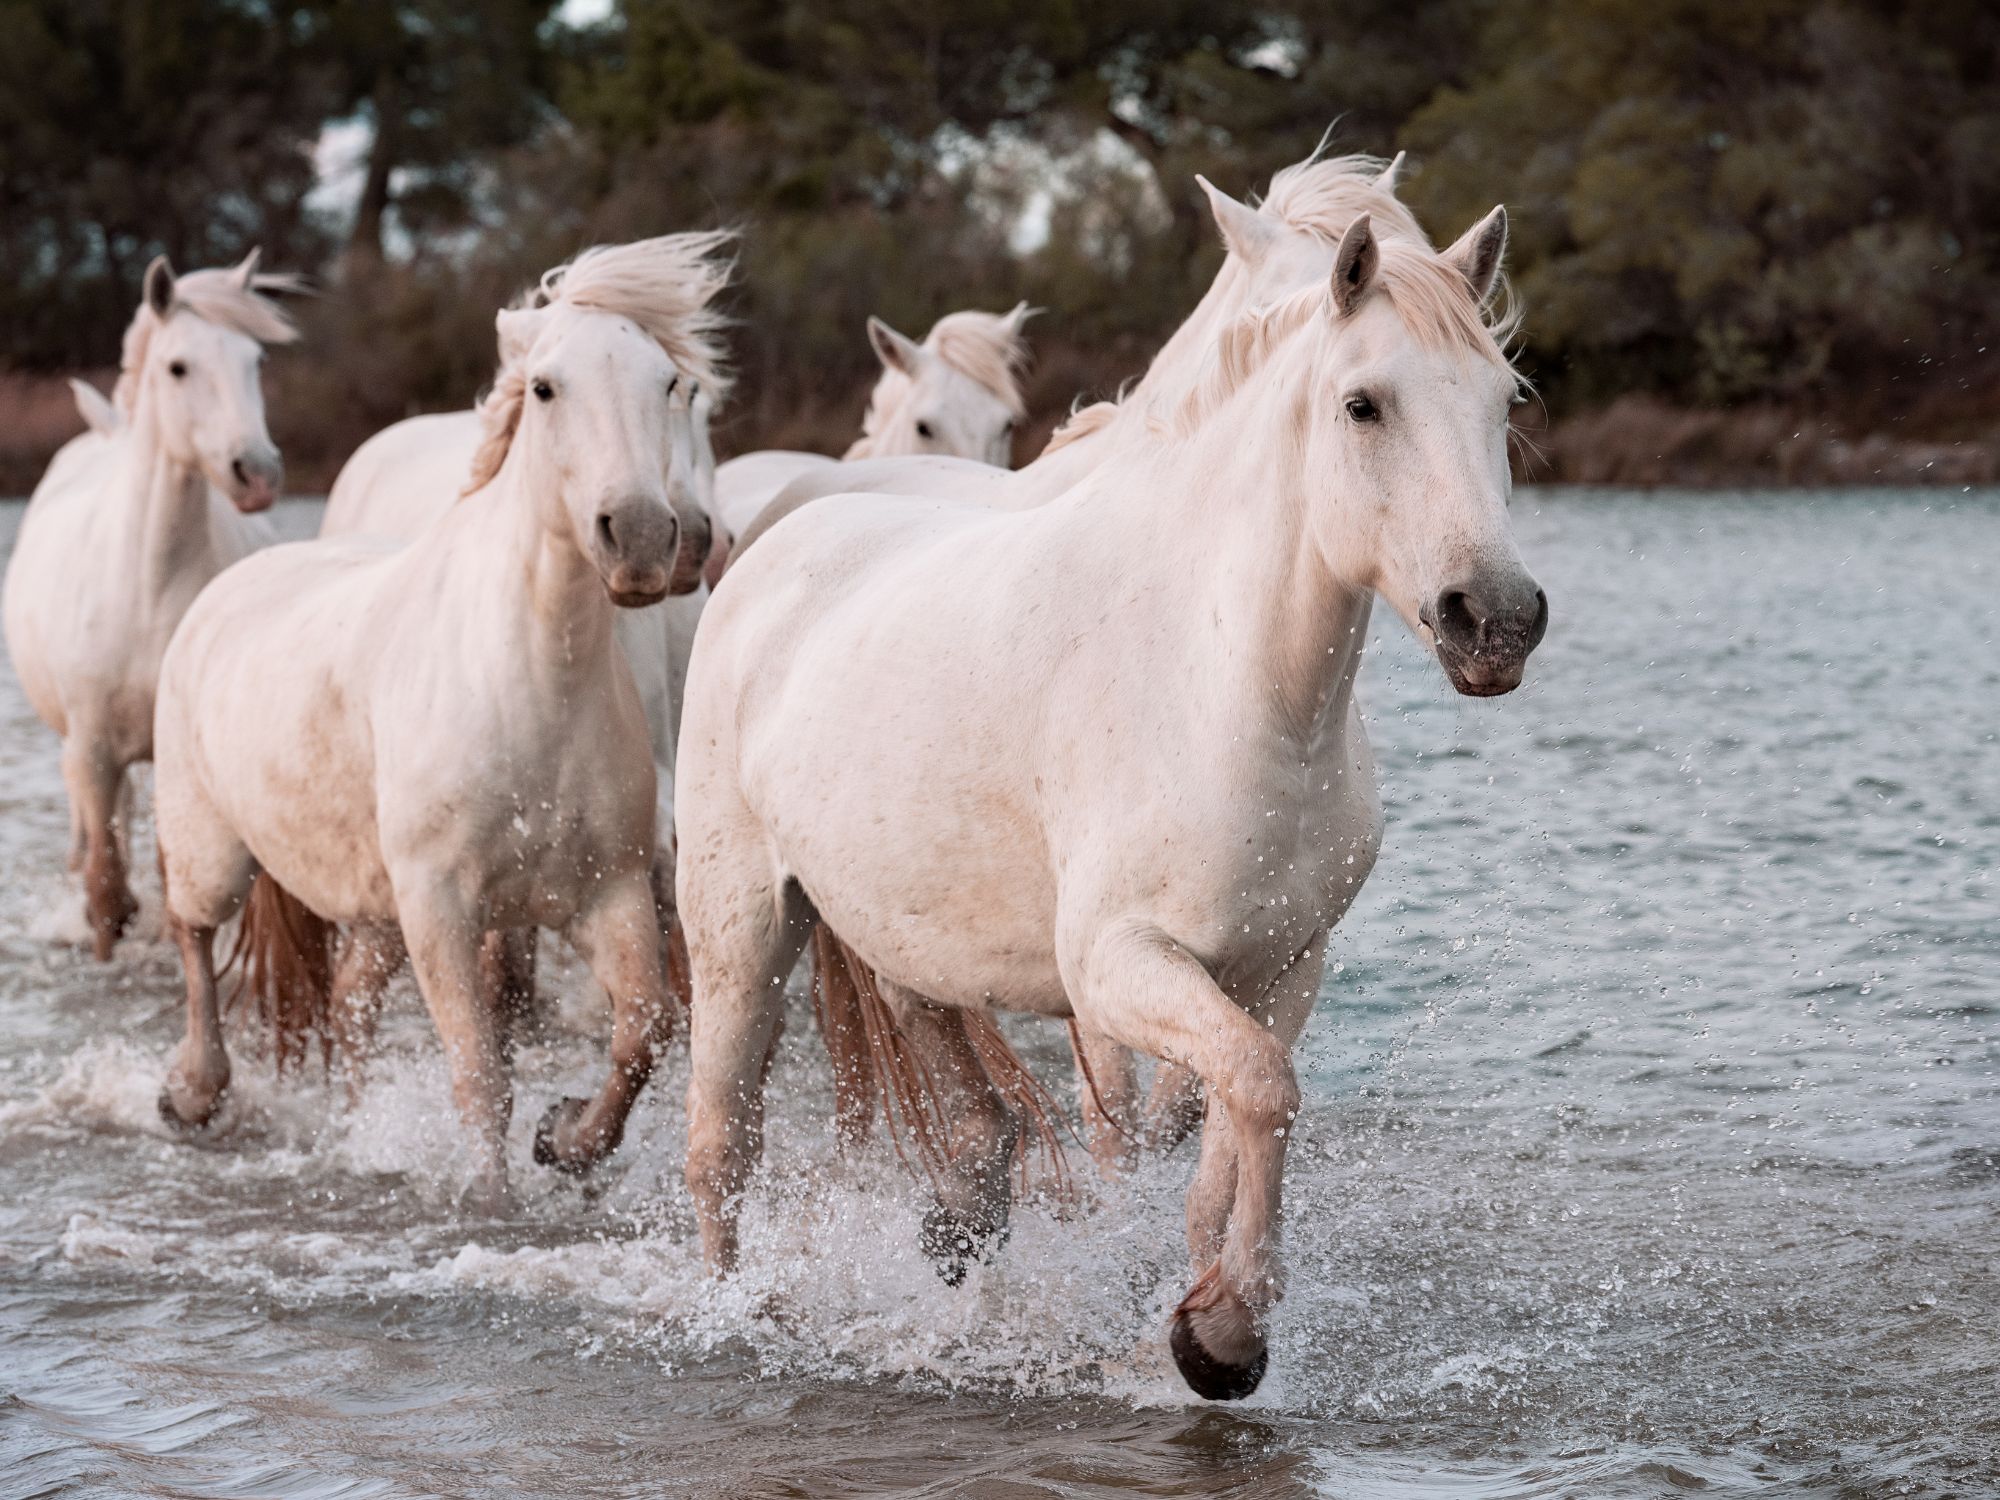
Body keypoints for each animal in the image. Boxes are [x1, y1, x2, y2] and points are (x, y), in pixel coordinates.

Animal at [3, 251, 299, 959]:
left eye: (256, 362)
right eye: (178, 367)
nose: (257, 473)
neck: (149, 588)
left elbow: (169, 885)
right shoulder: (92, 752)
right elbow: (107, 893)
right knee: (95, 842)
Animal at [149, 234, 732, 1211]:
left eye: (668, 383)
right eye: (546, 388)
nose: (647, 539)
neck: (528, 681)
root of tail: (218, 596)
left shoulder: (605, 892)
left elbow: (644, 1029)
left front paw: (566, 1138)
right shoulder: (444, 911)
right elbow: (479, 1073)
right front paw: (493, 1199)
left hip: (377, 909)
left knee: (347, 1005)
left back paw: (352, 1135)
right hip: (215, 856)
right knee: (193, 939)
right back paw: (191, 1093)